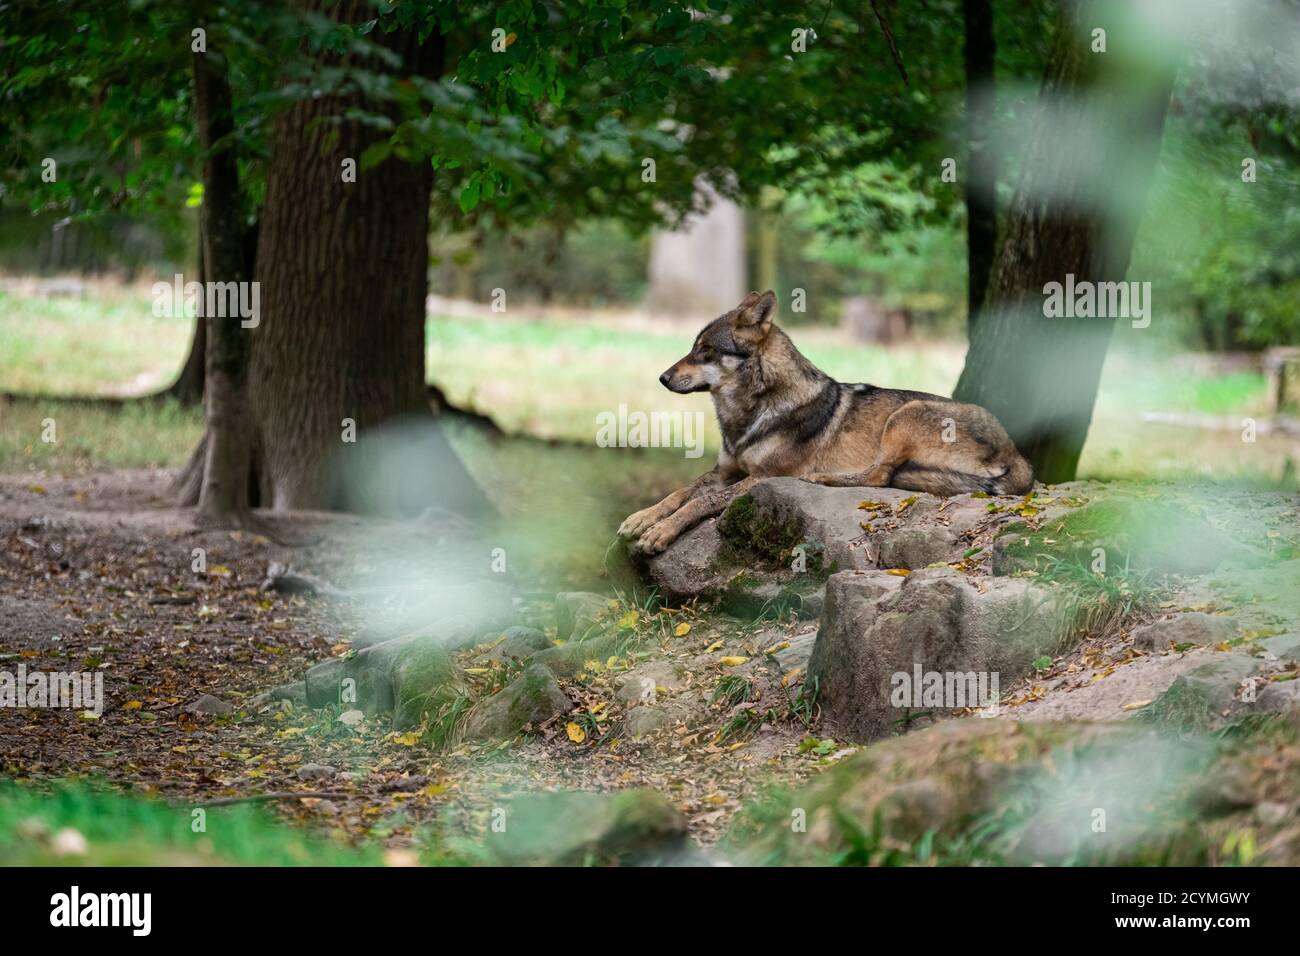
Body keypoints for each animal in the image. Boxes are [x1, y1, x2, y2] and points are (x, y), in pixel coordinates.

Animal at [618, 291, 1034, 554]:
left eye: (705, 350)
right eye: (693, 348)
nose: (662, 378)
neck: (747, 413)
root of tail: (1019, 456)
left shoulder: (759, 477)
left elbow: (700, 501)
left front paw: (660, 532)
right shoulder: (726, 471)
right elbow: (679, 493)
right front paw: (640, 519)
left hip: (905, 415)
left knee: (879, 476)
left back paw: (819, 478)